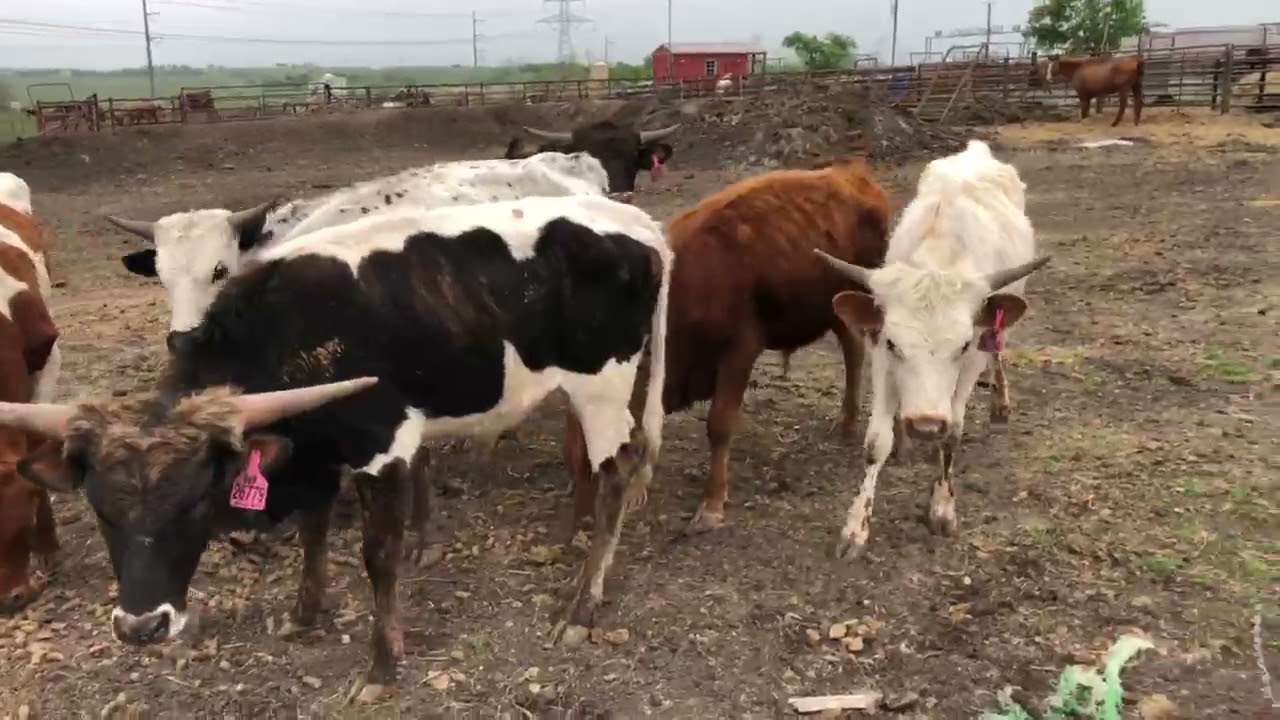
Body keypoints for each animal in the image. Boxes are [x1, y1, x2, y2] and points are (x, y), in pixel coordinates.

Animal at [0, 193, 670, 697]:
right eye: (100, 510)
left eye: (194, 503)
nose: (141, 626)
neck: (298, 329)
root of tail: (637, 225)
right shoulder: (312, 447)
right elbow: (313, 529)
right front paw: (306, 612)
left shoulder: (384, 445)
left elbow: (379, 555)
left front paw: (382, 663)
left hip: (602, 386)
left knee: (617, 472)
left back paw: (582, 606)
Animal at [563, 158, 891, 535]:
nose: (584, 522)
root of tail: (850, 172)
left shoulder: (740, 350)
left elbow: (719, 424)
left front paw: (712, 504)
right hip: (829, 305)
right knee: (853, 348)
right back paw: (846, 423)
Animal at [813, 140, 1050, 559]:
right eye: (894, 343)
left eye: (962, 344)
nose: (924, 425)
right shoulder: (881, 356)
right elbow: (876, 442)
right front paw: (856, 527)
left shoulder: (972, 357)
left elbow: (952, 432)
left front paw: (942, 506)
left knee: (998, 351)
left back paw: (1000, 402)